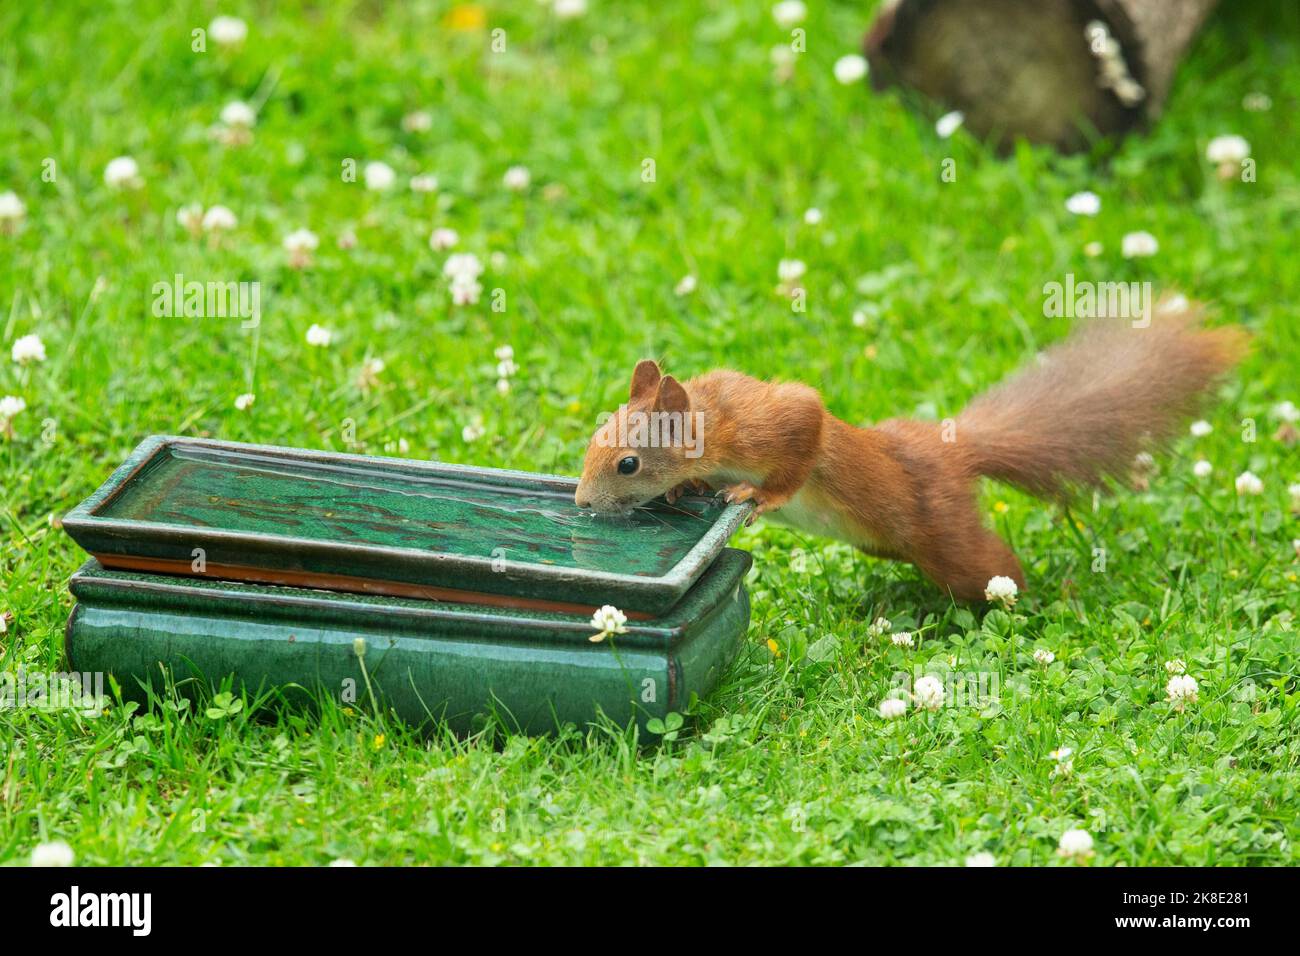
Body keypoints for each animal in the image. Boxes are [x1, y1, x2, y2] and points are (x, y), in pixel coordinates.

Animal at [575, 303, 1246, 601]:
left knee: (995, 568)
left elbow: (803, 437)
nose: (581, 502)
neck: (715, 423)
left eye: (628, 463)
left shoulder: (773, 422)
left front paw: (756, 494)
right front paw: (688, 487)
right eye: (593, 440)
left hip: (948, 541)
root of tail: (953, 450)